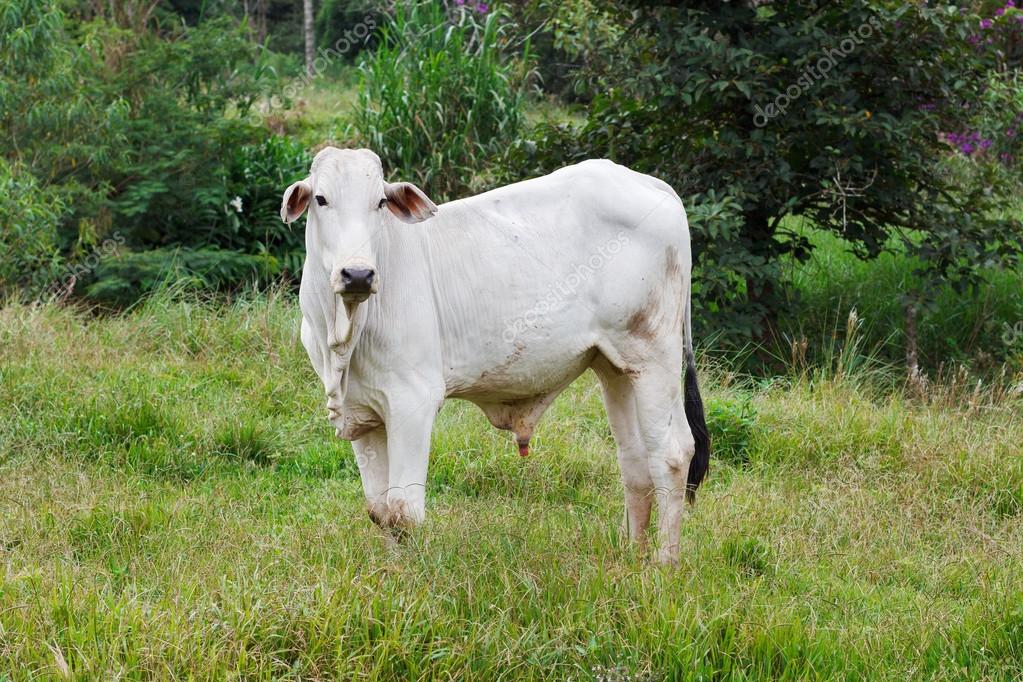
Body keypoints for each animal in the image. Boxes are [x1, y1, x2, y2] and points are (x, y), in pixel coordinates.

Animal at [281, 147, 709, 563]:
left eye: (381, 203)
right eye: (321, 199)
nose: (358, 274)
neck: (345, 332)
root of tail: (653, 185)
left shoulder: (412, 401)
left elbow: (404, 511)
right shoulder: (362, 413)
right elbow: (380, 510)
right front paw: (391, 570)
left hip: (655, 356)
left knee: (672, 454)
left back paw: (663, 565)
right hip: (615, 367)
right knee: (635, 462)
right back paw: (631, 557)